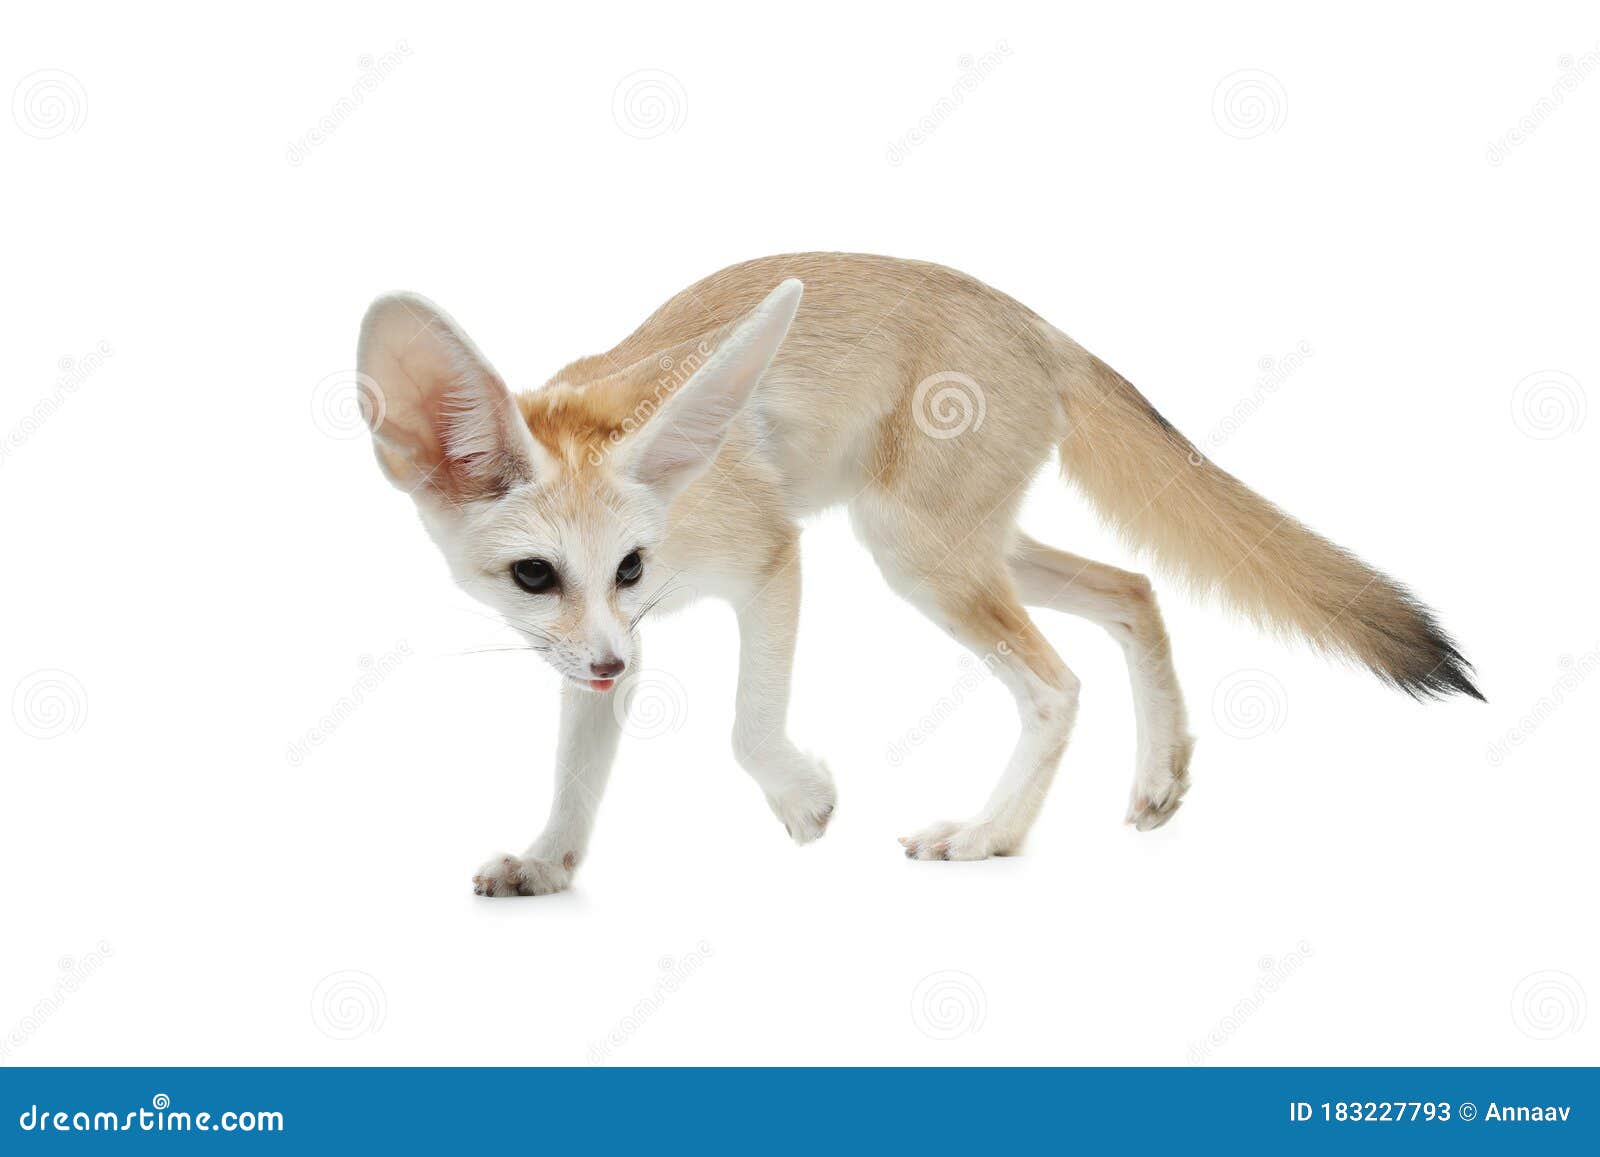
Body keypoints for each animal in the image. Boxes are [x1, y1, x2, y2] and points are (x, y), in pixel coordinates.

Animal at [356, 252, 1481, 896]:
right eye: (532, 576)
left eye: (632, 563)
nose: (606, 665)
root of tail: (1038, 325)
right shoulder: (609, 641)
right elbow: (576, 771)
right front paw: (550, 860)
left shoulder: (769, 557)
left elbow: (747, 728)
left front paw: (805, 801)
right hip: (973, 546)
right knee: (1133, 589)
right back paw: (1159, 775)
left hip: (915, 553)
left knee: (1056, 682)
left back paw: (991, 836)